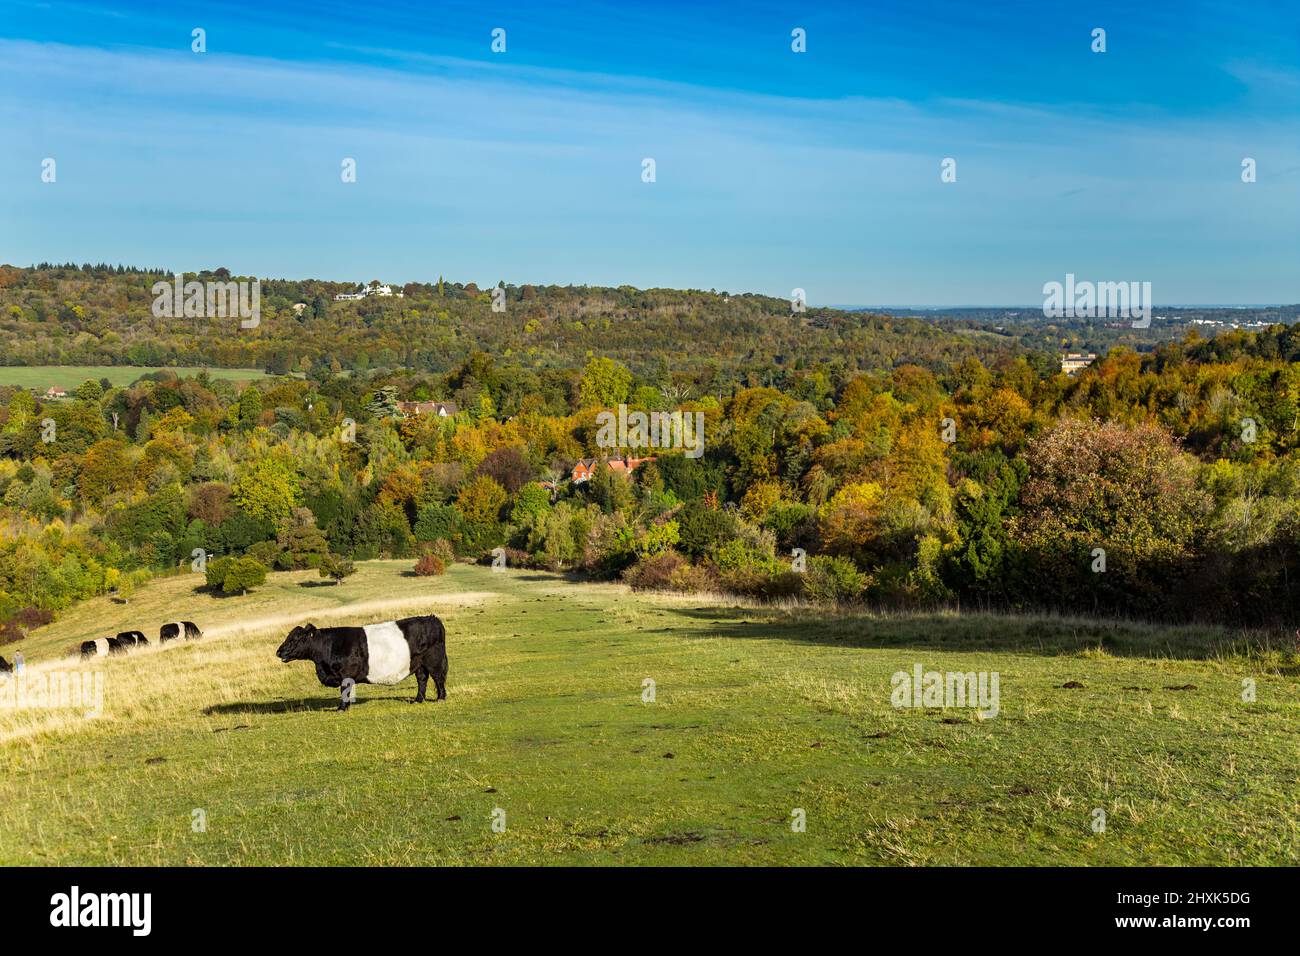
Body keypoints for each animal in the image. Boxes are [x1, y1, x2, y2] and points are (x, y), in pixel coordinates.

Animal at [275, 615, 447, 711]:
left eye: (297, 638)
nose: (279, 652)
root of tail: (432, 618)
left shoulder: (345, 674)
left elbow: (344, 690)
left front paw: (341, 708)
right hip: (419, 663)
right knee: (422, 679)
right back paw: (418, 700)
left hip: (434, 660)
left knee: (438, 678)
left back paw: (440, 698)